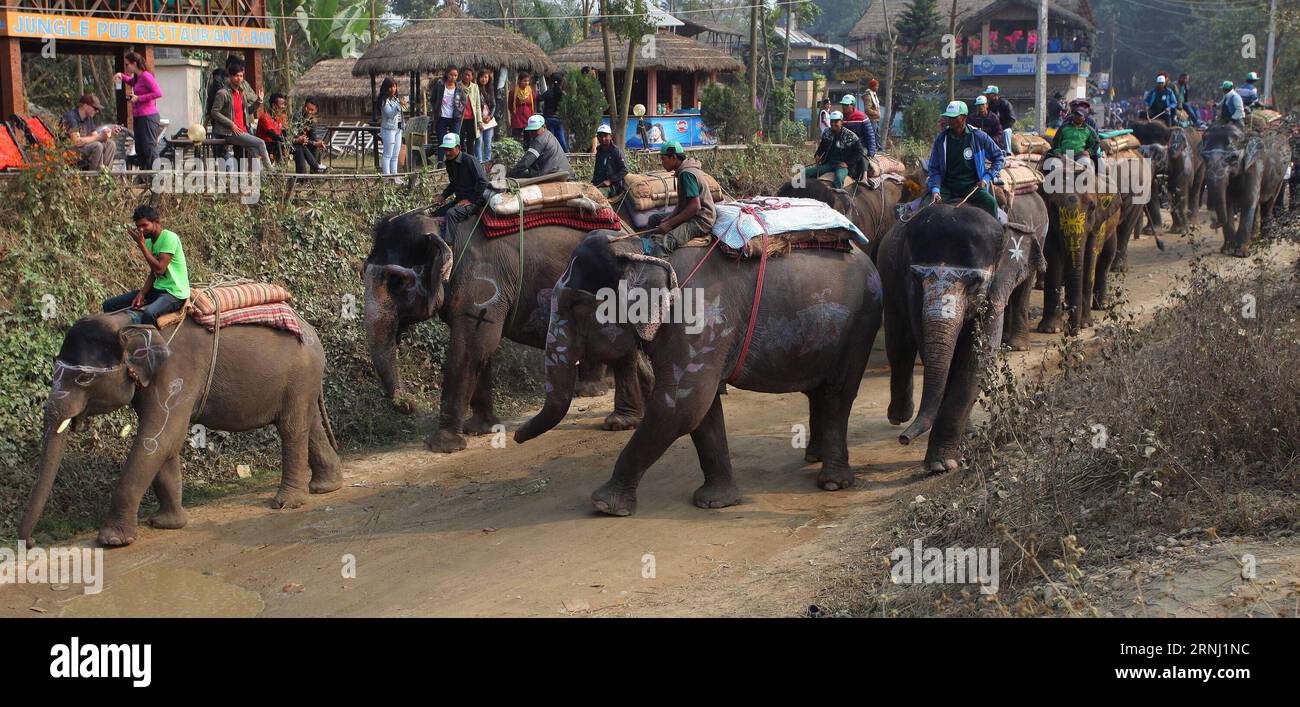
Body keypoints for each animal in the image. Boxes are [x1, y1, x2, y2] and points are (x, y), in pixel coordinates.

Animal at [19, 312, 341, 547]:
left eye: (84, 379)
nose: (32, 542)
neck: (128, 321)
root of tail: (310, 329)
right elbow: (165, 442)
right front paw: (167, 524)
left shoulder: (177, 371)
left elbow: (158, 437)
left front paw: (112, 540)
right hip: (303, 381)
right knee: (309, 424)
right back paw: (326, 487)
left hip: (299, 375)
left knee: (291, 428)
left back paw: (286, 503)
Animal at [363, 212, 648, 453]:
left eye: (397, 282)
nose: (408, 404)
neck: (443, 226)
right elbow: (482, 348)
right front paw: (479, 429)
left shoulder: (483, 283)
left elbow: (471, 346)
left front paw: (443, 446)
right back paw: (636, 411)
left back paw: (620, 421)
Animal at [514, 229, 884, 515]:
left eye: (573, 305)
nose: (515, 436)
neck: (640, 249)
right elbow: (701, 410)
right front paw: (715, 503)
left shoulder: (698, 316)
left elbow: (682, 406)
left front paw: (605, 505)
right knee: (818, 391)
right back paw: (813, 457)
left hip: (861, 321)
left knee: (837, 393)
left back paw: (833, 483)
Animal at [880, 204, 1045, 473]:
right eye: (916, 278)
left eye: (975, 282)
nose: (903, 439)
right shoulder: (910, 288)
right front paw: (940, 464)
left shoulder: (995, 292)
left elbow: (975, 361)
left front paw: (941, 464)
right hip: (888, 279)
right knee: (898, 346)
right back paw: (900, 416)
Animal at [1198, 123, 1290, 257]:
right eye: (1204, 157)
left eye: (1233, 157)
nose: (1212, 224)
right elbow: (1228, 202)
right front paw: (1227, 251)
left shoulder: (1255, 166)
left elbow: (1248, 200)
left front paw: (1241, 253)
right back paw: (1253, 238)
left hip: (1280, 176)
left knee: (1269, 202)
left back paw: (1265, 239)